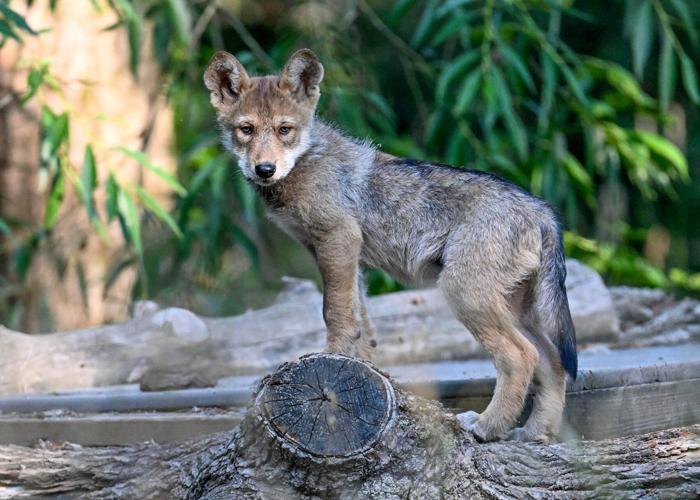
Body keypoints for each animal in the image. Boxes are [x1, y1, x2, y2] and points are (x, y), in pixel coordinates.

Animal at [204, 48, 577, 443]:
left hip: (465, 295)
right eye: (246, 130)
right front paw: (358, 365)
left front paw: (329, 358)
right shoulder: (343, 254)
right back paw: (536, 433)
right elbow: (361, 323)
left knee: (522, 358)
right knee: (553, 362)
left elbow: (334, 313)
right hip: (513, 309)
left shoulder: (338, 239)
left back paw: (487, 427)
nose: (264, 169)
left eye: (284, 130)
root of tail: (542, 209)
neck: (307, 163)